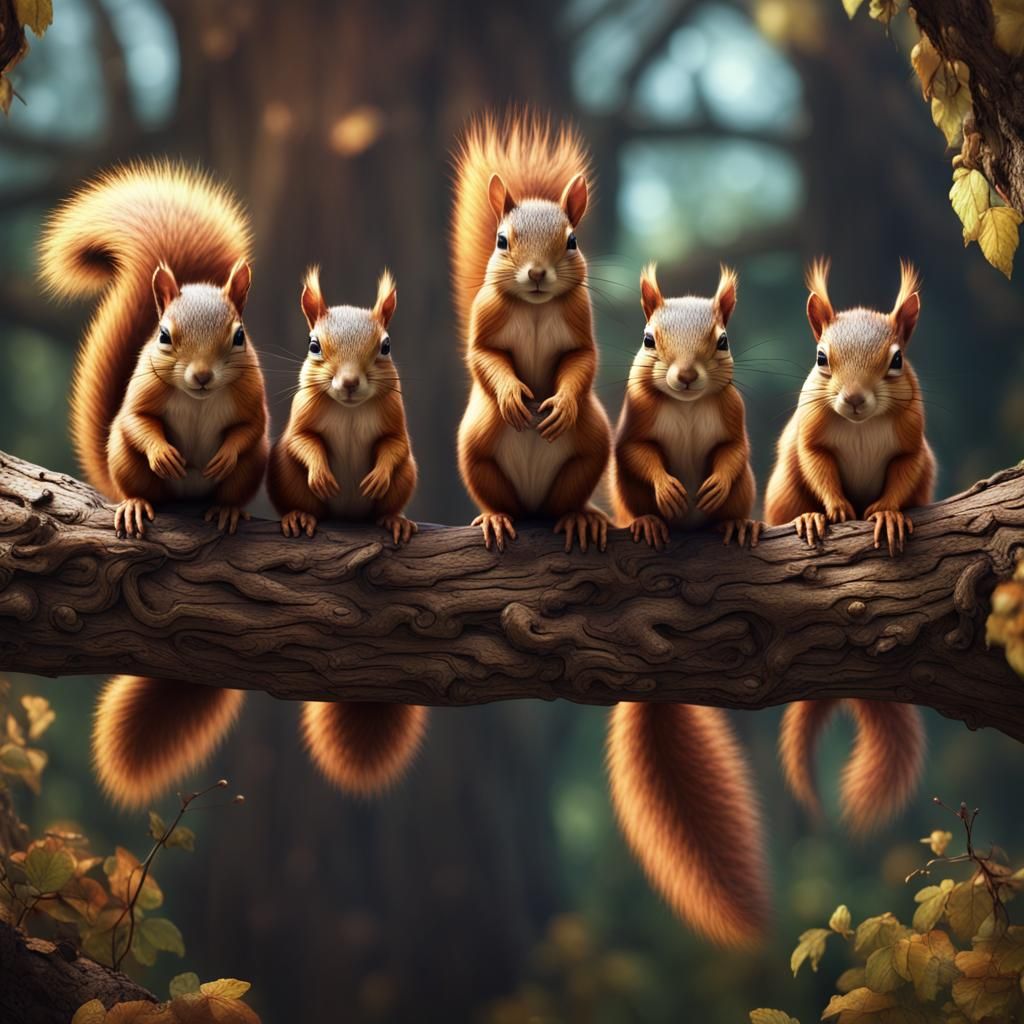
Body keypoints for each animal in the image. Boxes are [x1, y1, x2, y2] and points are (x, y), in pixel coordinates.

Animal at [38, 161, 269, 807]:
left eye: (238, 335)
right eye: (164, 335)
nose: (201, 377)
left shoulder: (256, 406)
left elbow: (247, 430)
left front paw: (219, 458)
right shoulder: (138, 402)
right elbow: (139, 423)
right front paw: (168, 452)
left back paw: (225, 510)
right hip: (122, 463)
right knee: (134, 474)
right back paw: (139, 505)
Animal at [267, 267, 426, 793]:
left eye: (386, 346)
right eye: (314, 345)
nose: (350, 383)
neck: (352, 409)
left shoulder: (397, 428)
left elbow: (393, 448)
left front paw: (374, 476)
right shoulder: (299, 423)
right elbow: (306, 443)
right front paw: (323, 473)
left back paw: (392, 519)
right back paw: (301, 517)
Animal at [453, 112, 612, 554]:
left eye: (572, 241)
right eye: (501, 240)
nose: (537, 273)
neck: (535, 307)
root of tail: (534, 503)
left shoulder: (580, 316)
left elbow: (582, 359)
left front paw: (563, 404)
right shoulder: (486, 315)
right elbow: (484, 356)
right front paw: (511, 393)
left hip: (592, 446)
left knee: (566, 498)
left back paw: (578, 516)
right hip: (476, 450)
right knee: (495, 495)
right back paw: (496, 516)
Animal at [764, 259, 932, 831]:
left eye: (897, 360)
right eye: (821, 358)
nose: (855, 400)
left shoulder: (914, 445)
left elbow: (901, 477)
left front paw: (886, 516)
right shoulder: (809, 436)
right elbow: (819, 465)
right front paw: (833, 511)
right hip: (781, 486)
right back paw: (809, 518)